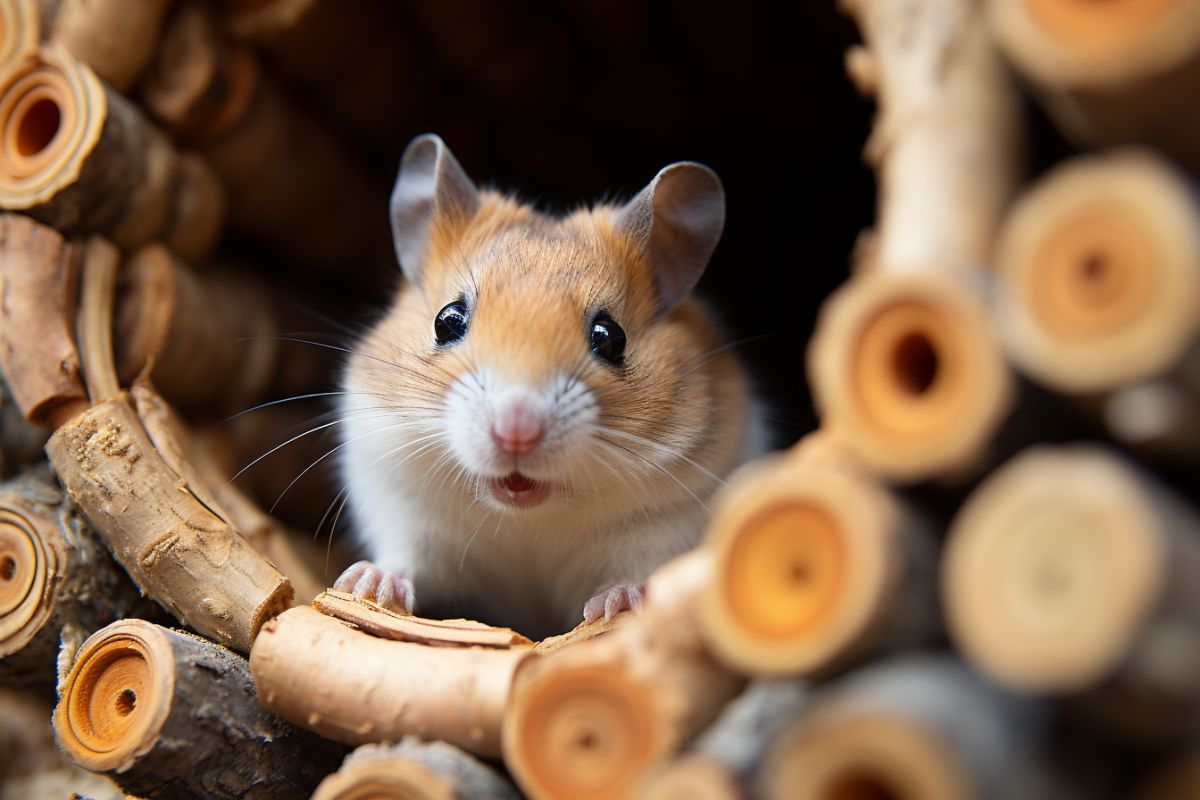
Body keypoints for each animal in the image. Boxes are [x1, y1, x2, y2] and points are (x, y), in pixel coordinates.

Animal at [333, 134, 767, 639]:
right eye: (447, 321)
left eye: (610, 337)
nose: (516, 432)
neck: (529, 515)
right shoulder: (398, 499)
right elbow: (405, 558)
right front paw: (363, 583)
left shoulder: (669, 520)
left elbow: (636, 569)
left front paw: (618, 604)